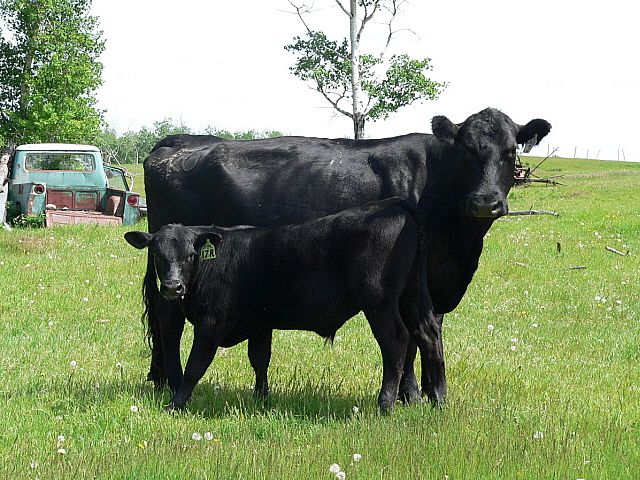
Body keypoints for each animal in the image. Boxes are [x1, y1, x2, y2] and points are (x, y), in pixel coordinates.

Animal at [125, 198, 435, 413]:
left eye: (190, 254)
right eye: (157, 254)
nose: (172, 287)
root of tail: (391, 204)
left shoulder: (211, 323)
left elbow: (195, 365)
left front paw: (176, 404)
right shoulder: (260, 324)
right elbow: (260, 359)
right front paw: (261, 397)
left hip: (380, 303)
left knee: (396, 342)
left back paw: (385, 403)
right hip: (411, 296)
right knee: (426, 334)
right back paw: (434, 399)